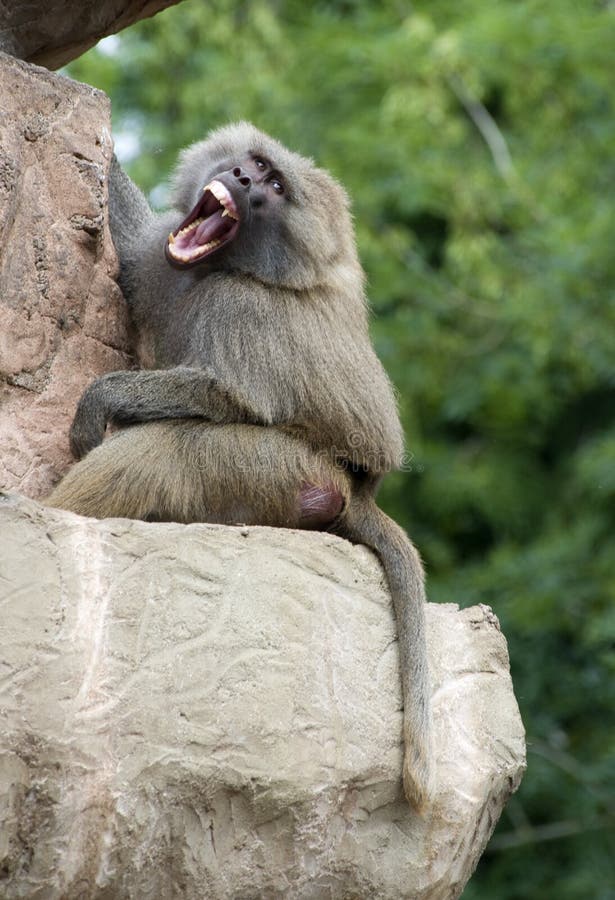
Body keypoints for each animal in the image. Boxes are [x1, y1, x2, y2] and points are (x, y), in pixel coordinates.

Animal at [46, 123, 433, 811]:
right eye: (252, 164)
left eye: (274, 185)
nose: (245, 179)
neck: (222, 268)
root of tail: (357, 492)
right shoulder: (158, 260)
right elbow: (133, 233)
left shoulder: (238, 307)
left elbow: (230, 395)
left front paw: (99, 403)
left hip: (275, 471)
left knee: (163, 448)